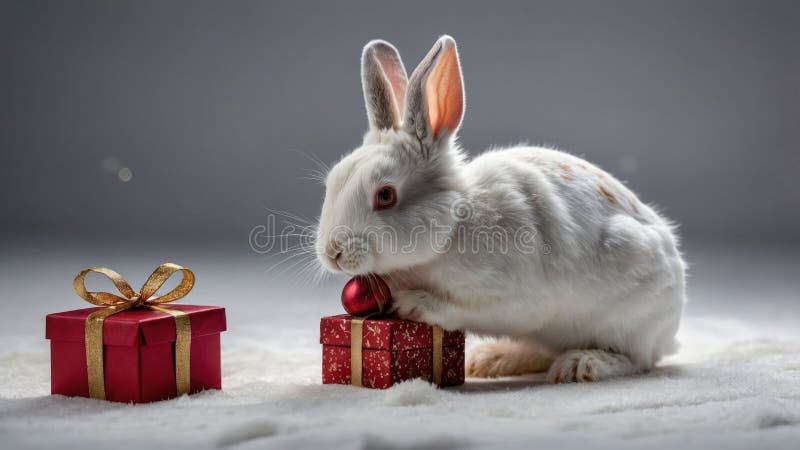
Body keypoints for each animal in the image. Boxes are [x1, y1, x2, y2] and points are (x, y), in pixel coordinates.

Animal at [315, 35, 686, 383]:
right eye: (332, 182)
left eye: (386, 195)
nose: (332, 253)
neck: (452, 231)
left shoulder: (508, 297)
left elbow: (460, 308)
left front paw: (412, 303)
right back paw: (490, 359)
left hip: (626, 316)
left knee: (637, 360)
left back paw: (581, 364)